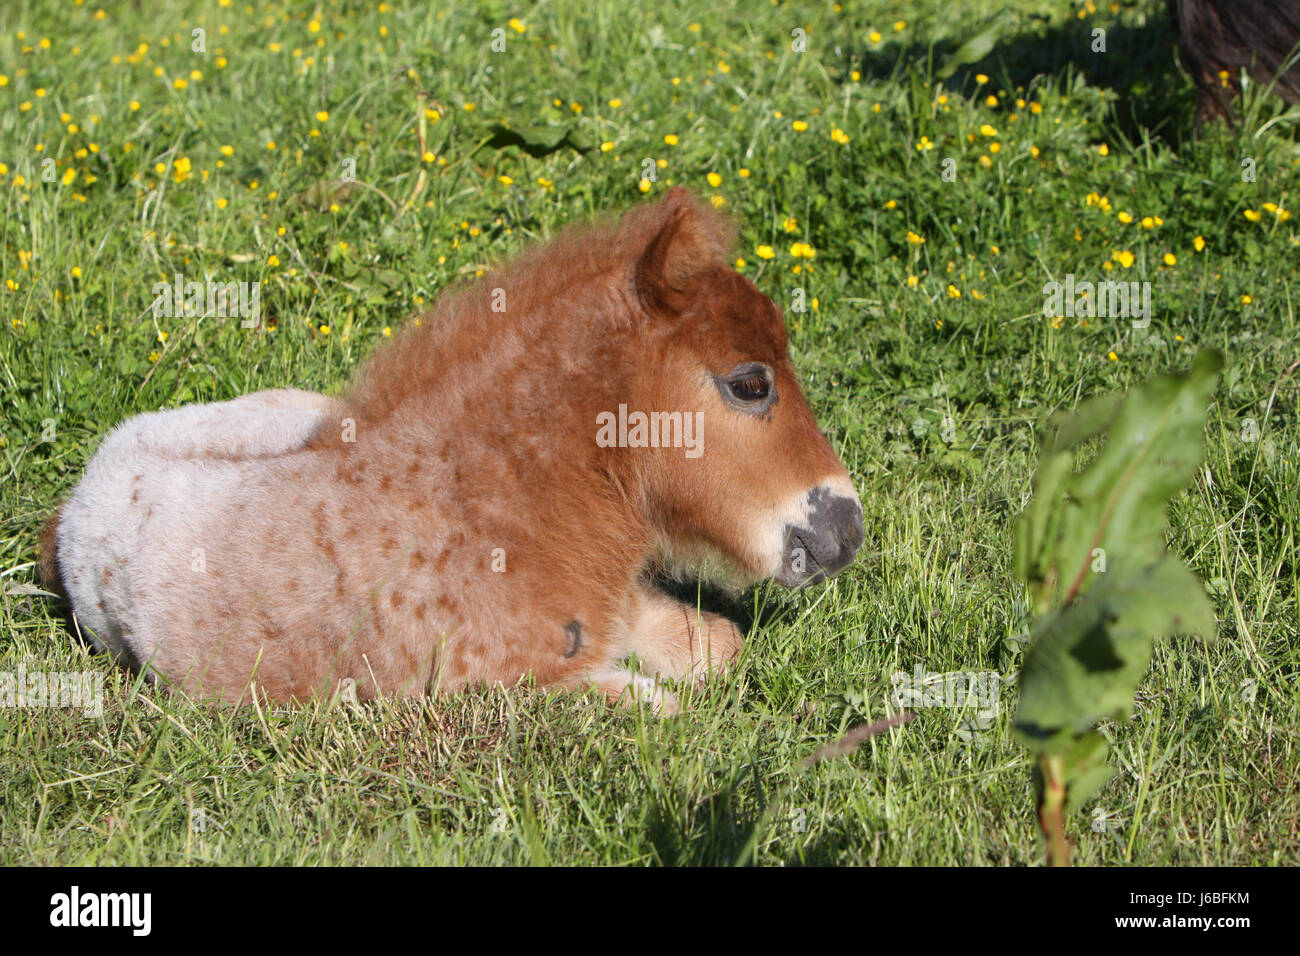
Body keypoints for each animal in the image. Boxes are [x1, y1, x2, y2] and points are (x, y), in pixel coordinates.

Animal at [39, 187, 864, 714]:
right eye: (750, 383)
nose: (846, 528)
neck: (478, 505)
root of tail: (82, 488)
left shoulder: (615, 604)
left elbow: (716, 649)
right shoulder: (522, 685)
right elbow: (674, 714)